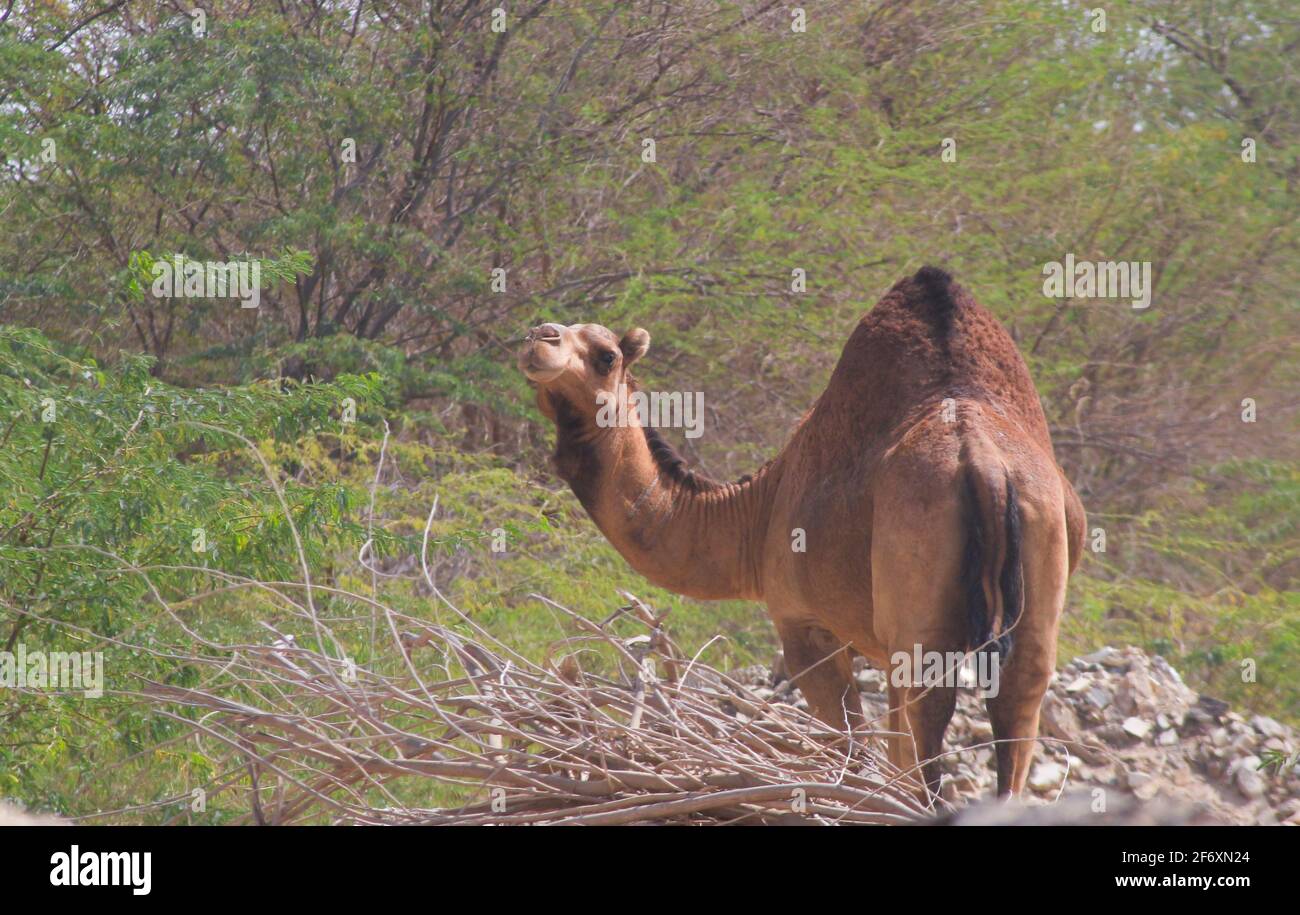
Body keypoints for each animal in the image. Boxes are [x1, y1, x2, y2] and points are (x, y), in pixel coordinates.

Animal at [518, 267, 1085, 799]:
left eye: (606, 355)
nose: (539, 337)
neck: (756, 511)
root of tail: (986, 465)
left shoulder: (805, 627)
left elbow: (857, 751)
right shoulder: (879, 644)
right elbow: (893, 750)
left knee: (932, 709)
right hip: (1034, 552)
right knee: (1018, 696)